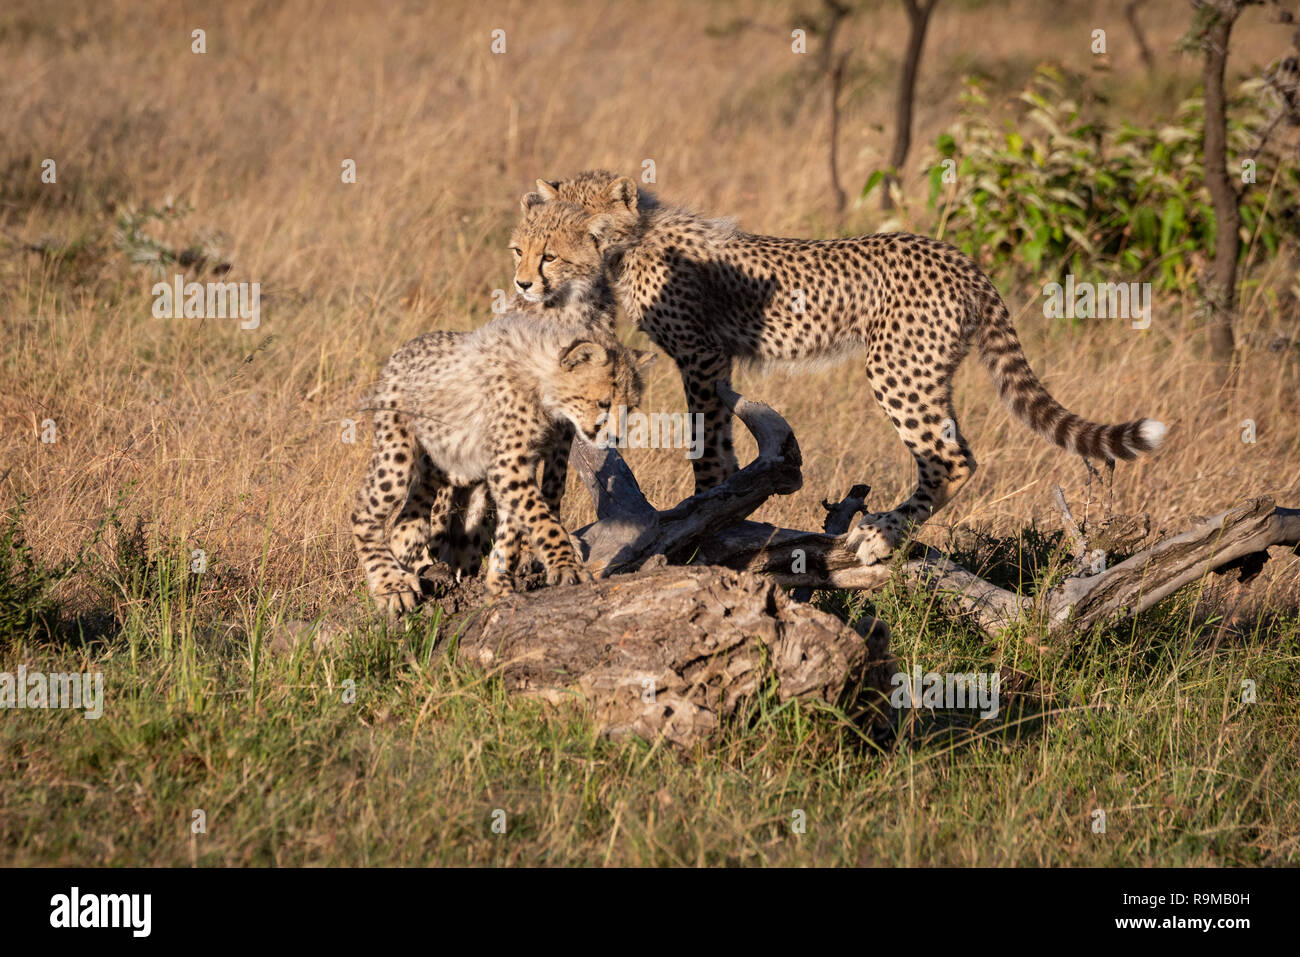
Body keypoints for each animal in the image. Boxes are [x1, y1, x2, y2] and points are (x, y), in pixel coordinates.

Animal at [351, 313, 651, 616]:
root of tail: (405, 347)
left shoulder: (527, 461)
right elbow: (541, 518)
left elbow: (514, 531)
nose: (615, 437)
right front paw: (567, 567)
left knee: (412, 522)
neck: (543, 382)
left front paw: (499, 589)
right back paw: (391, 585)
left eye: (630, 407)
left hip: (447, 465)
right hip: (397, 453)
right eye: (602, 403)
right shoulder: (510, 465)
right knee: (363, 515)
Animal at [517, 170, 1166, 565]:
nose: (523, 283)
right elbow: (723, 443)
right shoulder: (717, 363)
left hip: (897, 368)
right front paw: (724, 509)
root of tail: (957, 255)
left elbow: (704, 446)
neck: (631, 245)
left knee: (951, 457)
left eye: (571, 238)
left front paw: (699, 519)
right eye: (526, 246)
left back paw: (882, 532)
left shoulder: (700, 356)